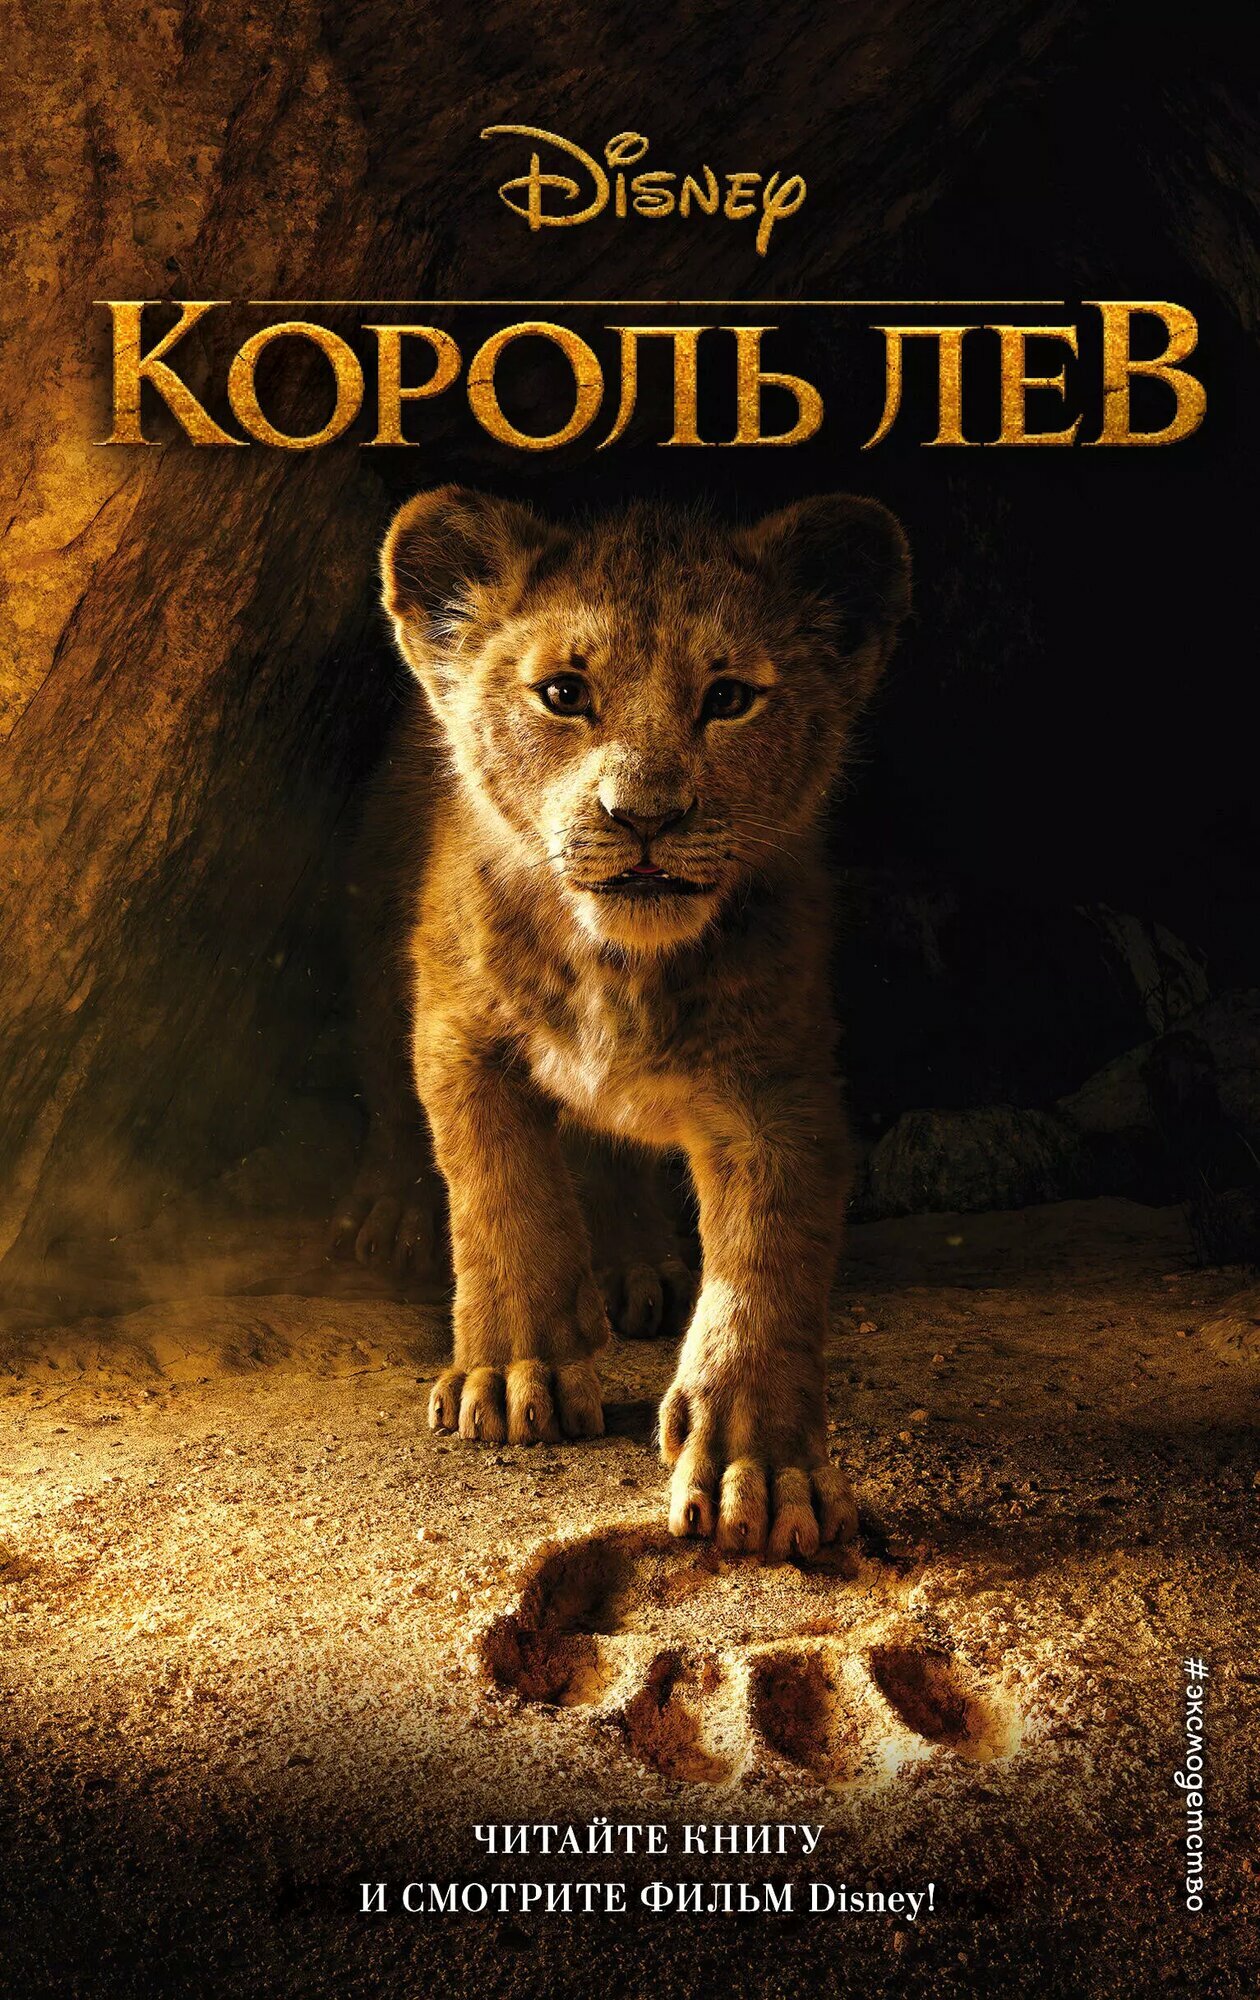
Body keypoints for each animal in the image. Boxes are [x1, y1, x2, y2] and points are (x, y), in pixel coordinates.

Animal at [336, 484, 910, 1558]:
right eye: (564, 693)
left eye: (729, 699)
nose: (645, 815)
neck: (618, 965)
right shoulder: (461, 1034)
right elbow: (502, 1196)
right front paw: (513, 1374)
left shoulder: (779, 1089)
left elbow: (766, 1268)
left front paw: (758, 1469)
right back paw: (393, 1216)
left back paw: (635, 1266)